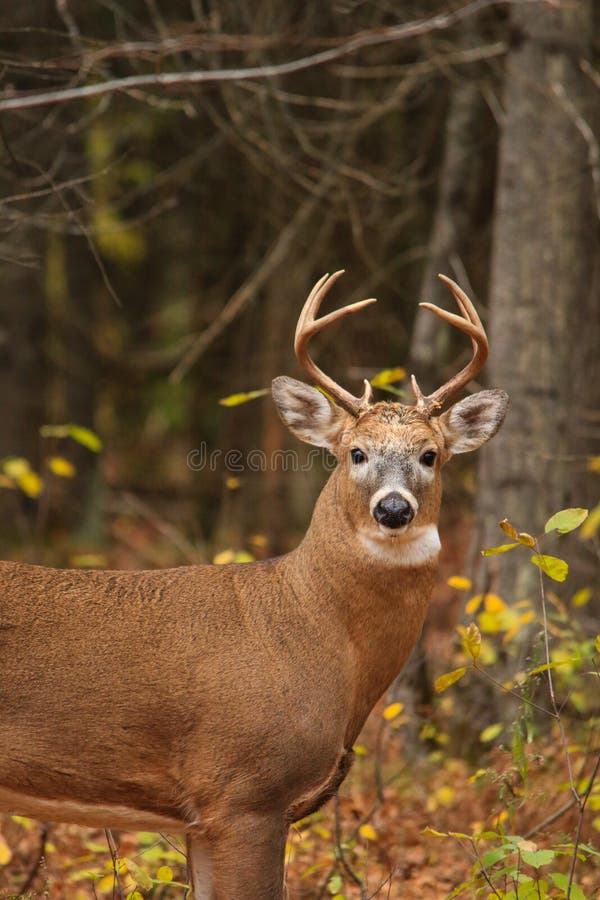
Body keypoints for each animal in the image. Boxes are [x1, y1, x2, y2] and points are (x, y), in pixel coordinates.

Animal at [0, 271, 508, 899]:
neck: (311, 627)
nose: (394, 509)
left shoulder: (204, 816)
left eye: (431, 455)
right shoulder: (245, 792)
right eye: (356, 453)